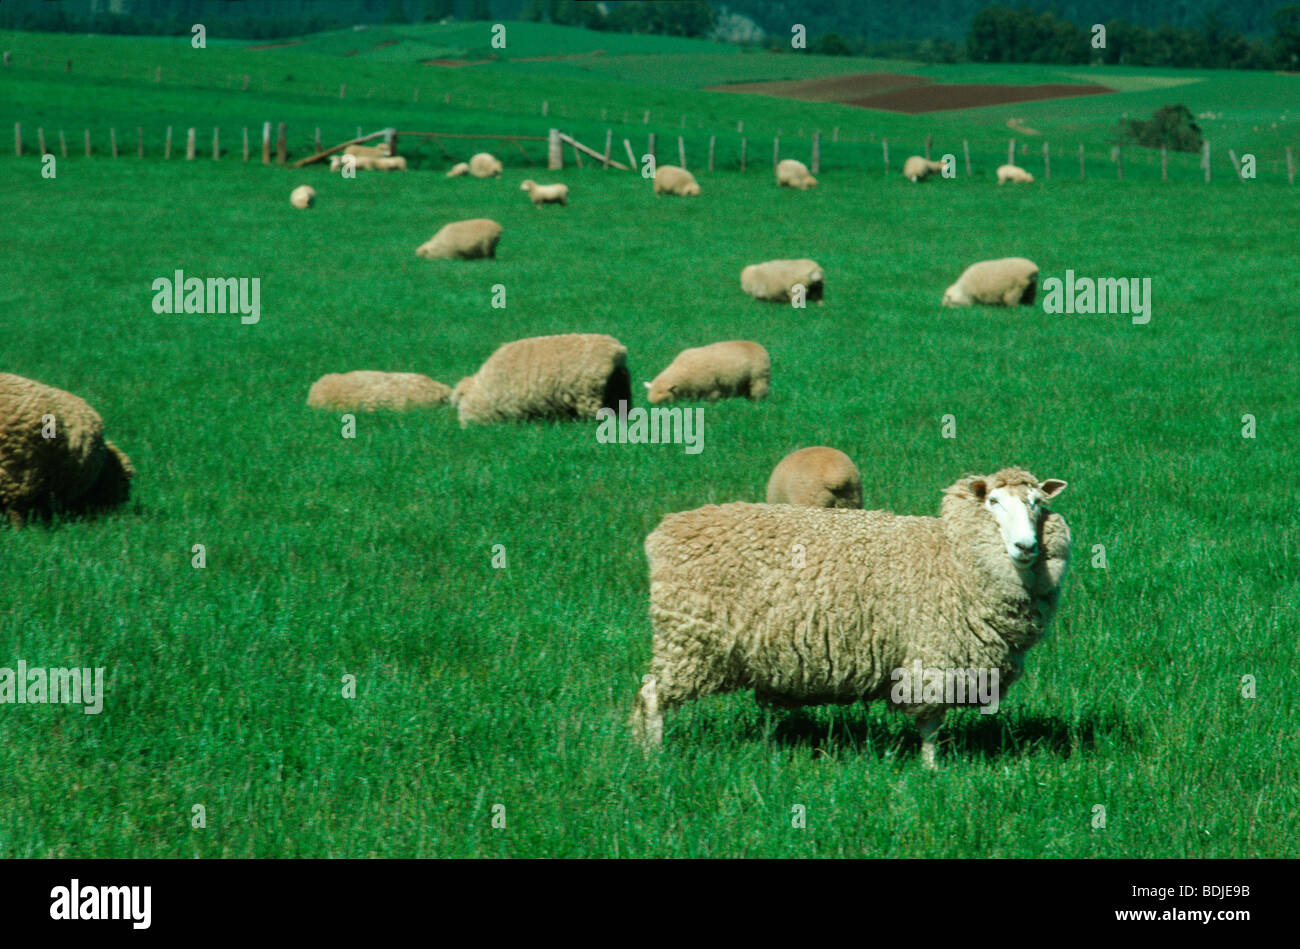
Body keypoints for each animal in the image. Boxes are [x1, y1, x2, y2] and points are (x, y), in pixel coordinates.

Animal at [630, 467, 1070, 769]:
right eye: (994, 503)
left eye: (1037, 504)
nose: (1026, 546)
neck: (951, 555)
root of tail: (665, 532)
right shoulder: (933, 655)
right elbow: (930, 723)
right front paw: (932, 769)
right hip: (689, 638)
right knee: (652, 695)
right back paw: (652, 757)